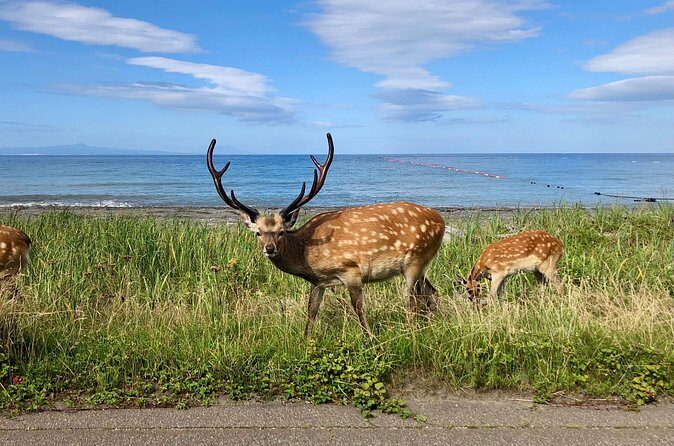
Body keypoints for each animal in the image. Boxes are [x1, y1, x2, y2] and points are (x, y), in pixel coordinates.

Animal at [206, 133, 445, 337]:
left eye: (281, 232)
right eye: (258, 233)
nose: (270, 248)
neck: (308, 256)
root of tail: (441, 221)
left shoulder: (351, 270)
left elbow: (358, 309)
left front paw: (370, 340)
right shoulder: (318, 282)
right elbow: (311, 312)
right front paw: (306, 341)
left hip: (415, 260)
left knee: (413, 301)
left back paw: (410, 332)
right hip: (421, 265)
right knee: (431, 293)